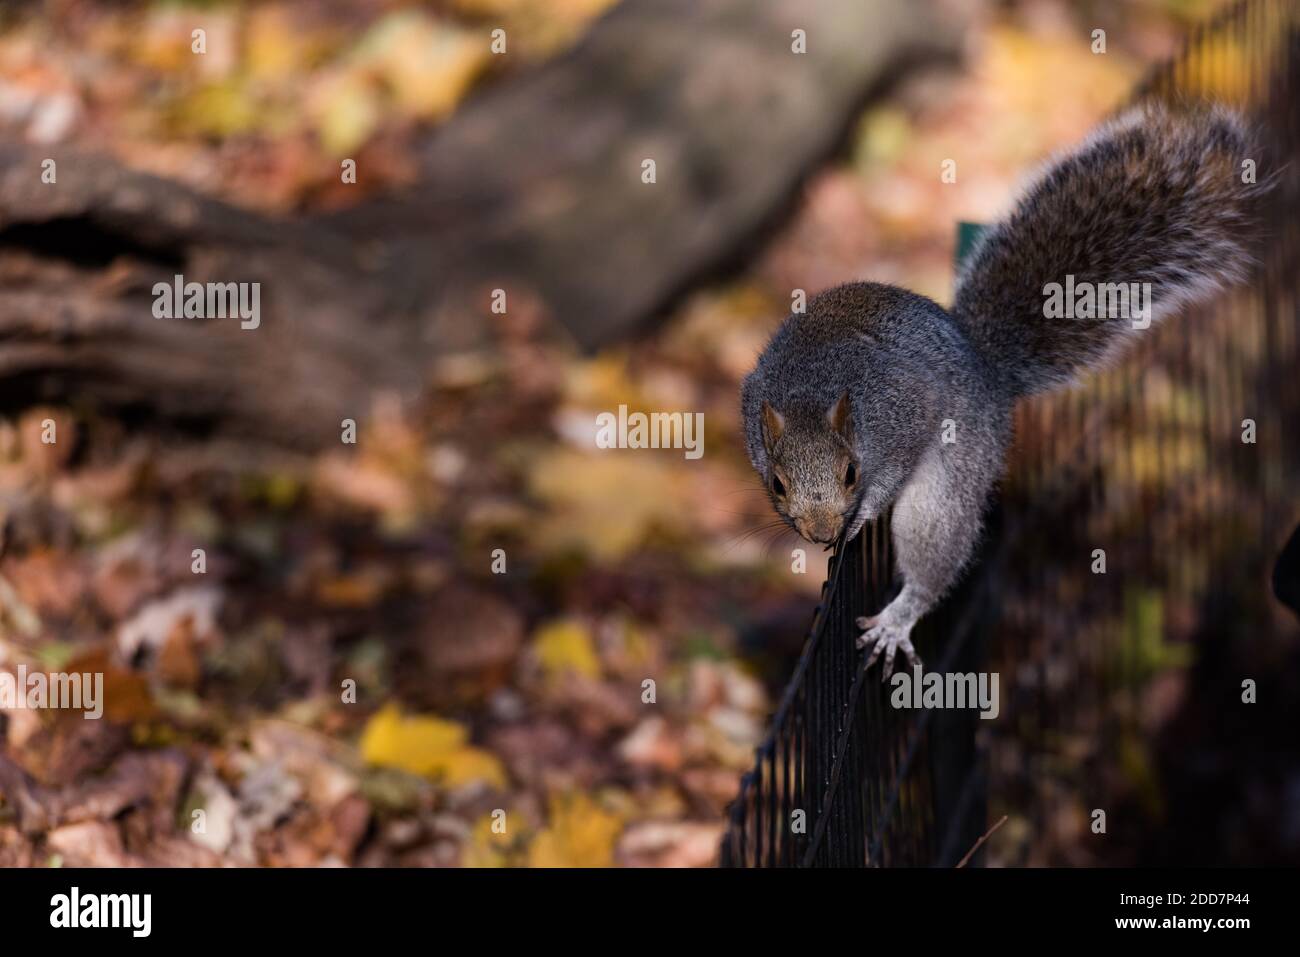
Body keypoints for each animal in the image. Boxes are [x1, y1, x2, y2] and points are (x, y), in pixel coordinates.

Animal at [741, 103, 1264, 677]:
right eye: (777, 485)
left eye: (851, 472)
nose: (821, 534)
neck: (811, 389)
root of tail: (984, 364)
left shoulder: (904, 414)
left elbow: (889, 479)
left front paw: (861, 520)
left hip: (958, 467)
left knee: (934, 548)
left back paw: (898, 619)